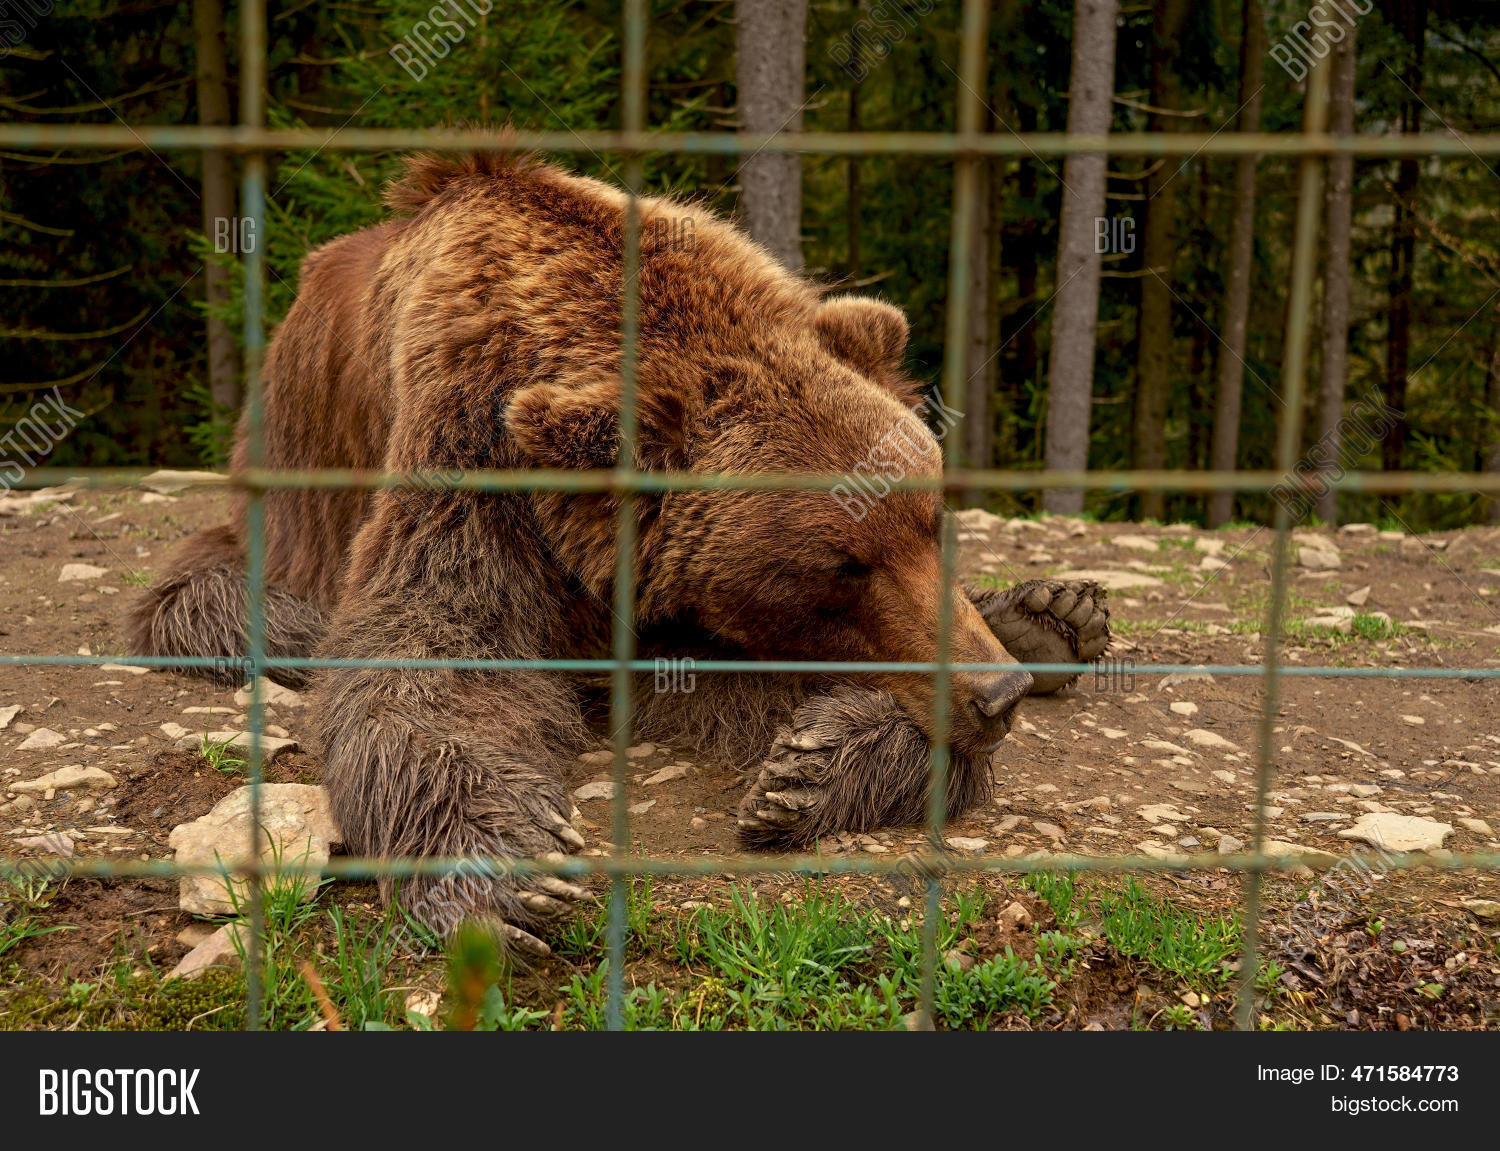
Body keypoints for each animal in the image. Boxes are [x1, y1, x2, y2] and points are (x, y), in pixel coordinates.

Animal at [129, 154, 1110, 956]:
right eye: (839, 565)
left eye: (932, 520)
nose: (997, 693)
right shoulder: (471, 457)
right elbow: (435, 659)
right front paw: (513, 870)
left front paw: (815, 762)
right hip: (297, 473)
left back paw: (1054, 621)